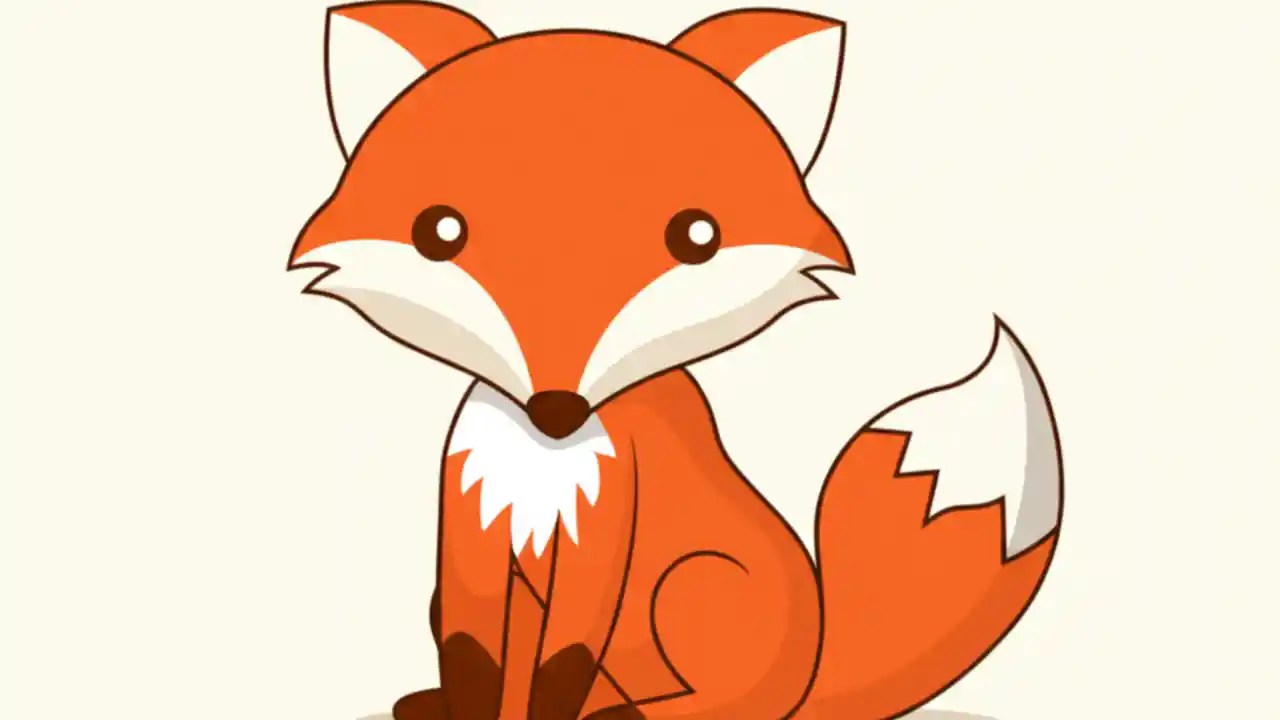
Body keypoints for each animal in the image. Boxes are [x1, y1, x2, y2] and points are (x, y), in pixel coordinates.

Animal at [287, 3, 1064, 719]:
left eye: (697, 238)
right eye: (439, 232)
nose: (557, 410)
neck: (541, 464)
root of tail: (815, 670)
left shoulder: (602, 528)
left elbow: (561, 660)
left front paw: (547, 709)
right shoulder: (475, 524)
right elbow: (475, 654)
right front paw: (473, 708)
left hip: (695, 583)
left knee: (734, 702)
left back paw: (633, 713)